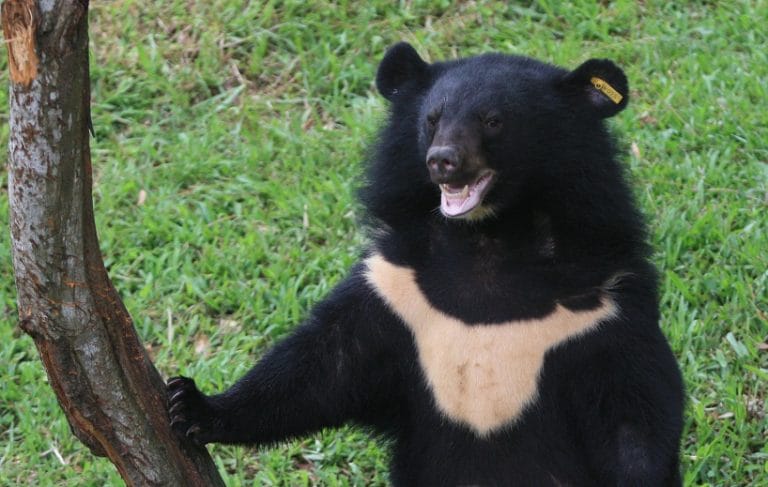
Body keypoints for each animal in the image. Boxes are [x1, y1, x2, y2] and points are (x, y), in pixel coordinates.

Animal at [168, 42, 684, 486]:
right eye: (432, 120)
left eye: (493, 121)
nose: (443, 161)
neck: (487, 239)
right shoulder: (394, 288)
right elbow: (317, 370)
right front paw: (189, 404)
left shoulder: (602, 309)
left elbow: (634, 416)